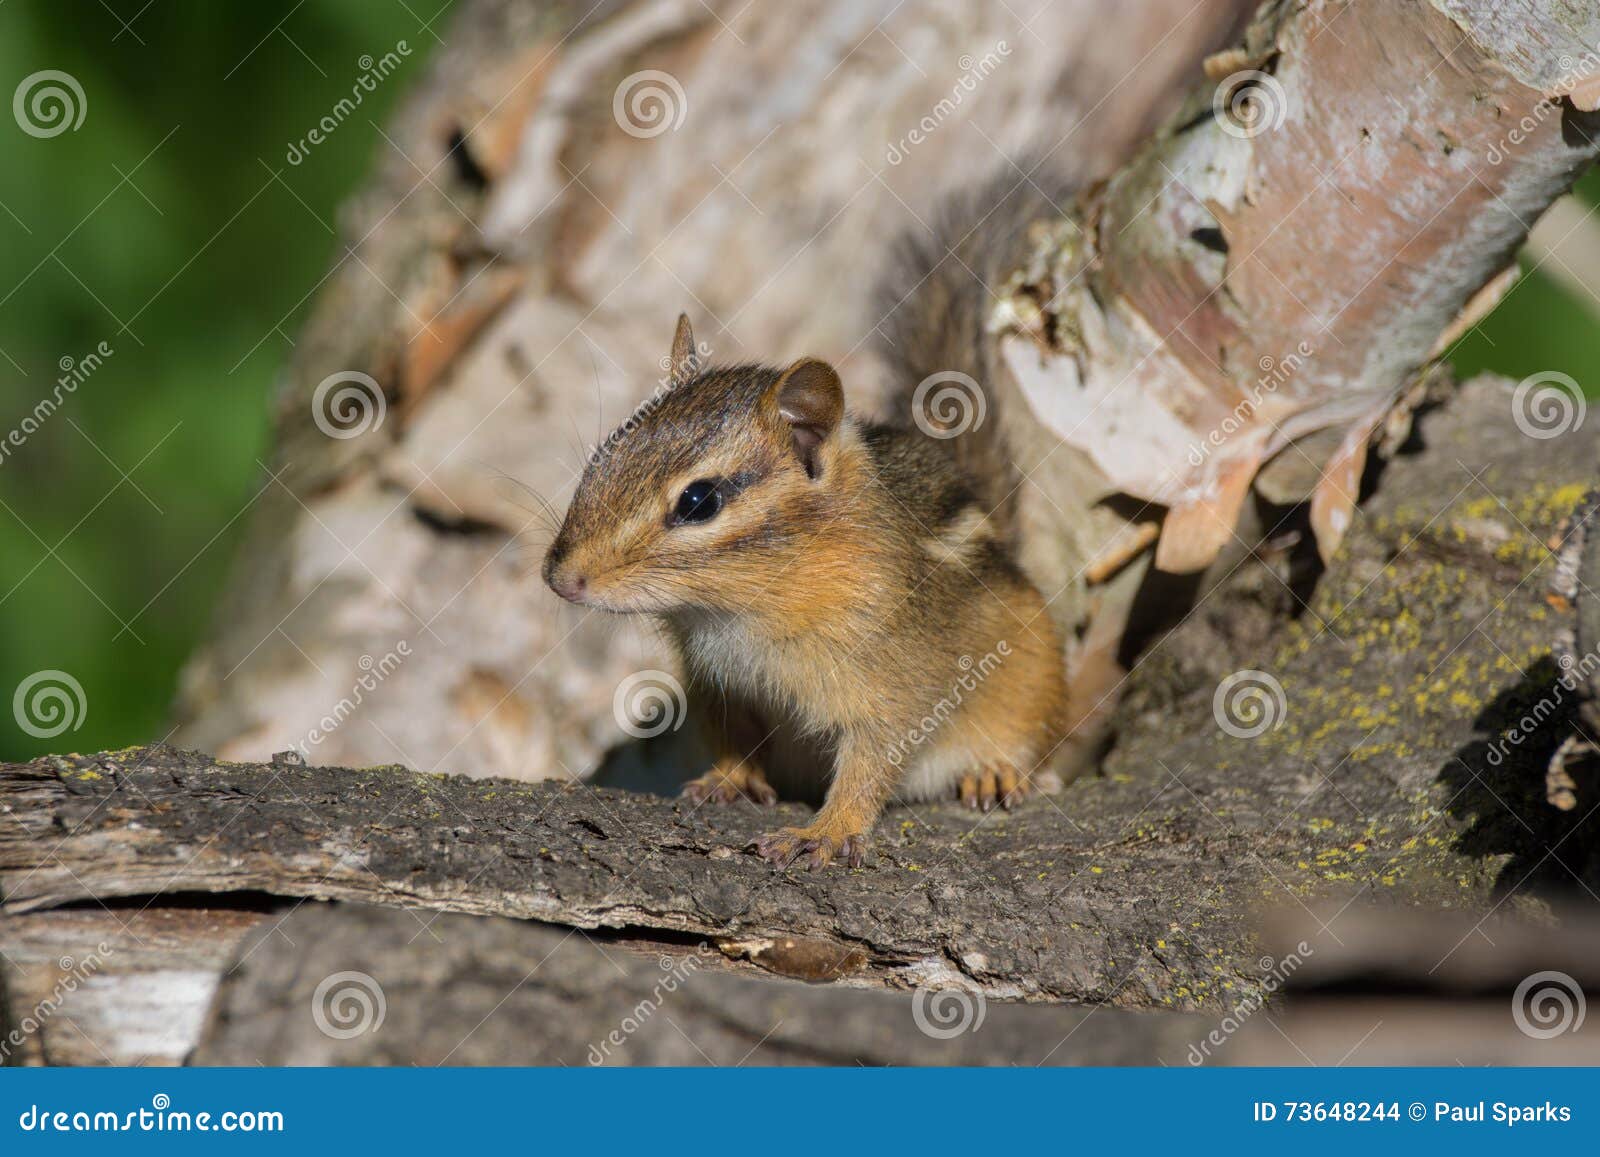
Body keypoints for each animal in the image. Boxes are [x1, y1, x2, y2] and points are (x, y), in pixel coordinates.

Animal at [544, 176, 1074, 870]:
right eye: (601, 455)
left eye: (699, 502)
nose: (559, 578)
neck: (745, 605)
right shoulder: (718, 682)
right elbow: (733, 736)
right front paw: (728, 779)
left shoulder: (889, 673)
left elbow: (874, 757)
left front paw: (825, 830)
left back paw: (997, 770)